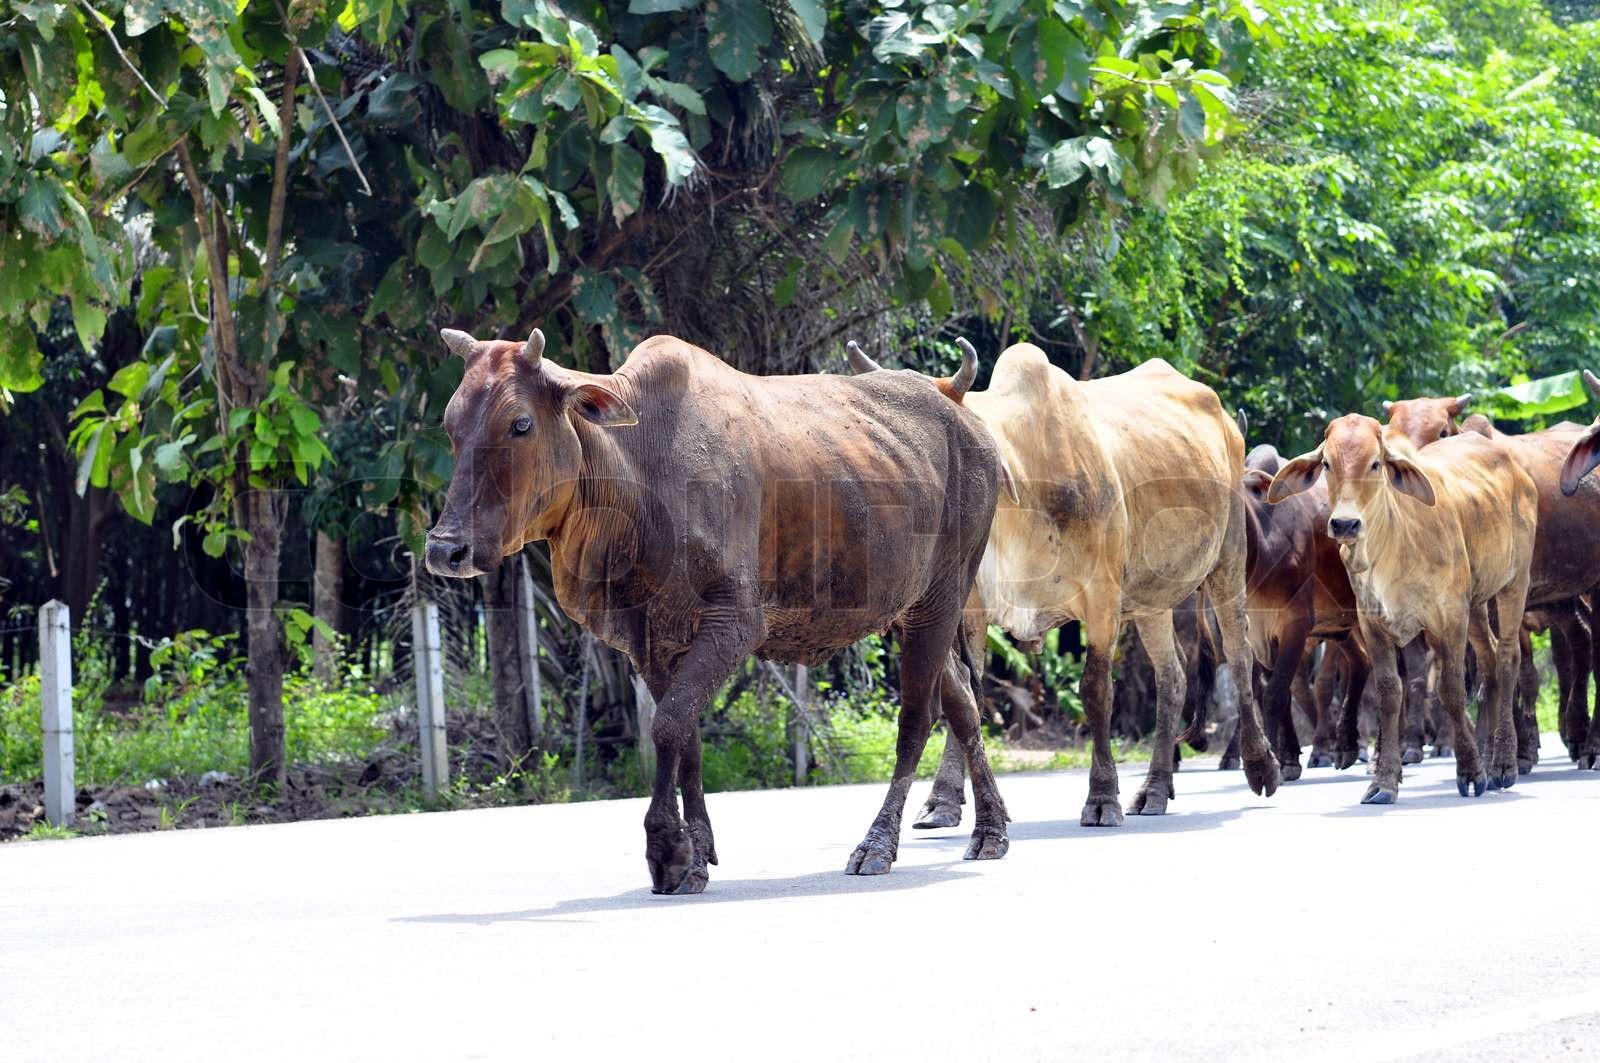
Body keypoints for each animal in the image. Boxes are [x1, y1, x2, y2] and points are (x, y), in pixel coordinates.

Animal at [422, 327, 1012, 893]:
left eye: (520, 423)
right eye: (451, 424)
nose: (445, 550)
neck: (635, 470)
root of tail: (964, 415)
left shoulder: (736, 621)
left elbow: (668, 725)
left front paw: (668, 851)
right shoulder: (651, 641)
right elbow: (687, 737)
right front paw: (698, 851)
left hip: (942, 597)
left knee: (916, 719)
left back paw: (878, 845)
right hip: (909, 610)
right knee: (963, 701)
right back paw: (990, 830)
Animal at [892, 345, 1281, 830]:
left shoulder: (1102, 599)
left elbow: (1096, 692)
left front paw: (1101, 798)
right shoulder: (971, 609)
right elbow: (966, 694)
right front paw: (942, 802)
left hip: (1228, 560)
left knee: (1239, 654)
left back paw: (1261, 765)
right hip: (1153, 600)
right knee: (1172, 677)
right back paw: (1155, 788)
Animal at [1268, 415, 1538, 802]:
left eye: (1375, 463)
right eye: (1327, 464)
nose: (1345, 524)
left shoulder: (1449, 618)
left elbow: (1451, 691)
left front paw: (1470, 773)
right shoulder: (1374, 625)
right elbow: (1389, 694)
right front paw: (1383, 782)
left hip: (1514, 582)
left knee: (1507, 658)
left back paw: (1502, 764)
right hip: (1475, 603)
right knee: (1488, 662)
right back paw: (1488, 754)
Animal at [1390, 393, 1600, 770]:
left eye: (1441, 431)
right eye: (1389, 433)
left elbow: (1505, 667)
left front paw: (1508, 753)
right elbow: (1486, 670)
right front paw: (1498, 751)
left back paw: (1590, 744)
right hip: (1563, 596)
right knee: (1580, 642)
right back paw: (1576, 735)